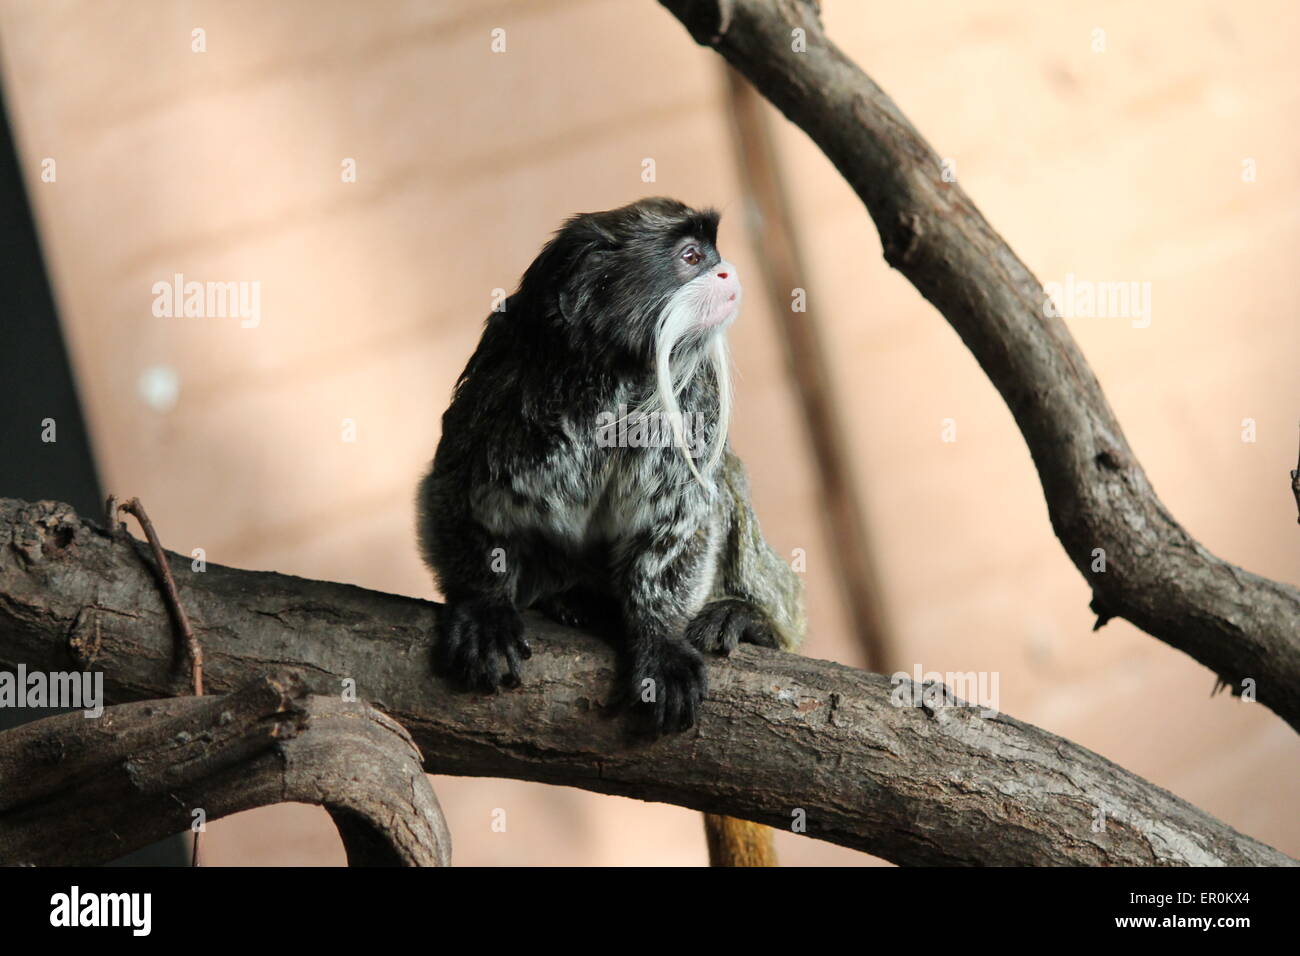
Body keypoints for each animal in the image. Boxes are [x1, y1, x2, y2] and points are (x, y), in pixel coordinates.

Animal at [416, 197, 805, 863]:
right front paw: (486, 608)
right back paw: (573, 601)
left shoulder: (694, 403)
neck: (609, 377)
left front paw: (658, 641)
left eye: (714, 254)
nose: (728, 272)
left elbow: (684, 515)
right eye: (692, 257)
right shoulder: (499, 386)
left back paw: (751, 621)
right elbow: (458, 495)